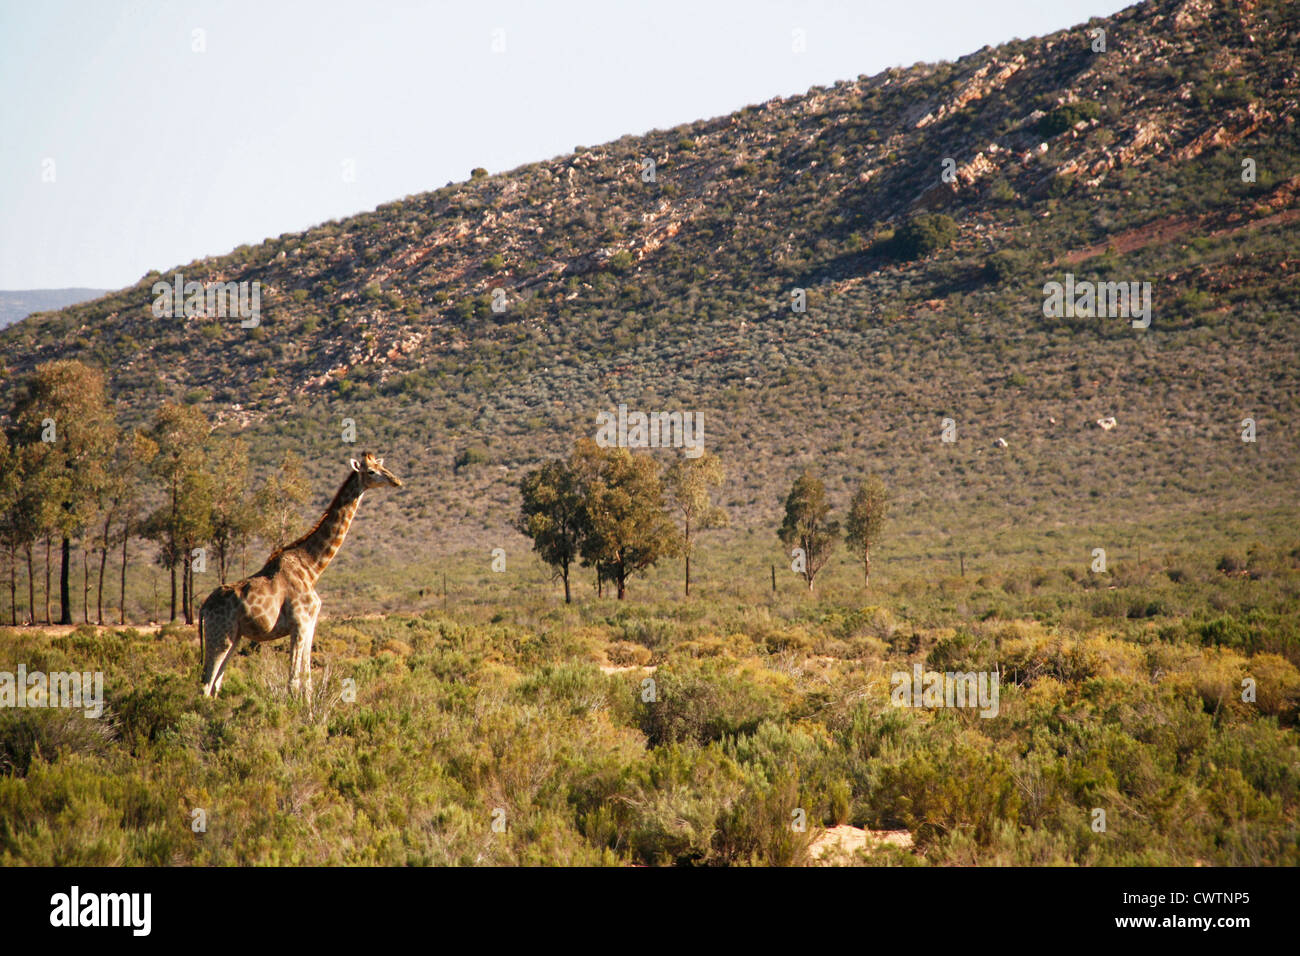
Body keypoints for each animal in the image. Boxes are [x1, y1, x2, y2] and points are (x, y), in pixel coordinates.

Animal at [198, 451, 403, 698]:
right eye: (371, 471)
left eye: (382, 466)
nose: (396, 481)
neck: (312, 567)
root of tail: (203, 608)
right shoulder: (299, 623)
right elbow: (294, 680)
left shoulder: (310, 624)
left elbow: (307, 678)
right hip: (219, 635)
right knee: (206, 683)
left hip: (235, 637)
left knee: (216, 684)